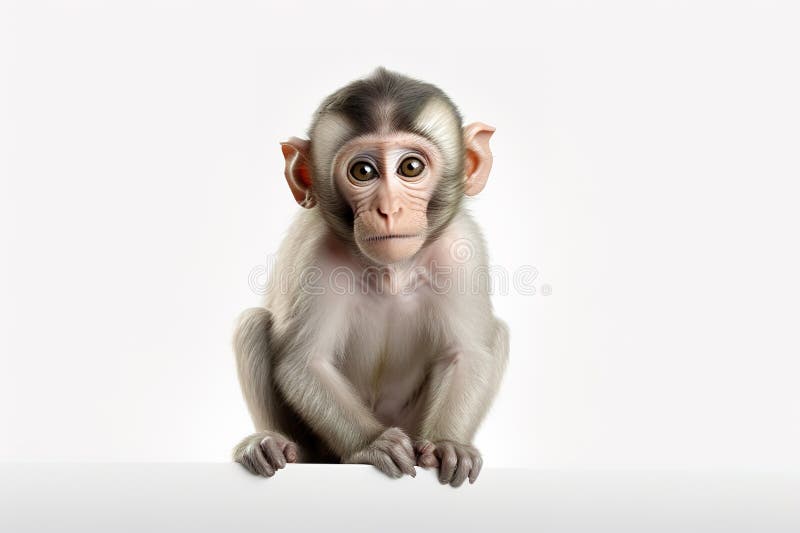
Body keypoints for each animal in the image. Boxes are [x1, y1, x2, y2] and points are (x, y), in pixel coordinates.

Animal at [232, 67, 509, 487]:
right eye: (362, 172)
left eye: (411, 167)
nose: (388, 209)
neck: (392, 270)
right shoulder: (316, 255)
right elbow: (304, 362)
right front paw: (372, 444)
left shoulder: (462, 248)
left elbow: (468, 354)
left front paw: (450, 445)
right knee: (252, 323)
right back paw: (273, 445)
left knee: (498, 333)